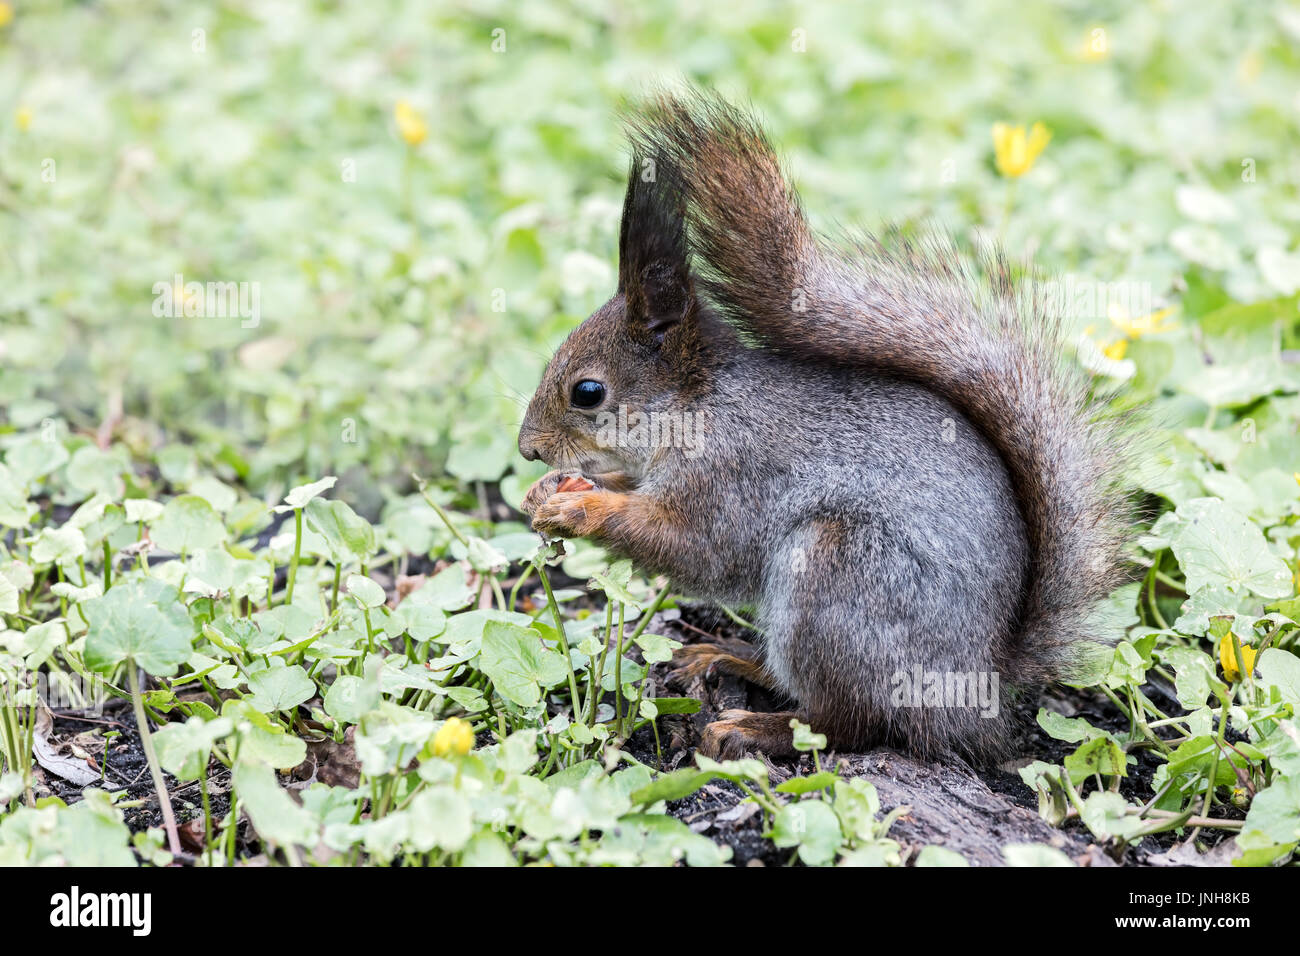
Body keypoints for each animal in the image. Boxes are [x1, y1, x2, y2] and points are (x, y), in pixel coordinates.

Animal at [517, 90, 1134, 763]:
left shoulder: (731, 478)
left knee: (847, 723)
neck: (698, 404)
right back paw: (730, 657)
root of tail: (977, 682)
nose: (528, 450)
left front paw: (580, 509)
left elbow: (690, 547)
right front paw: (547, 494)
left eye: (588, 392)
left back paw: (753, 727)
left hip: (840, 580)